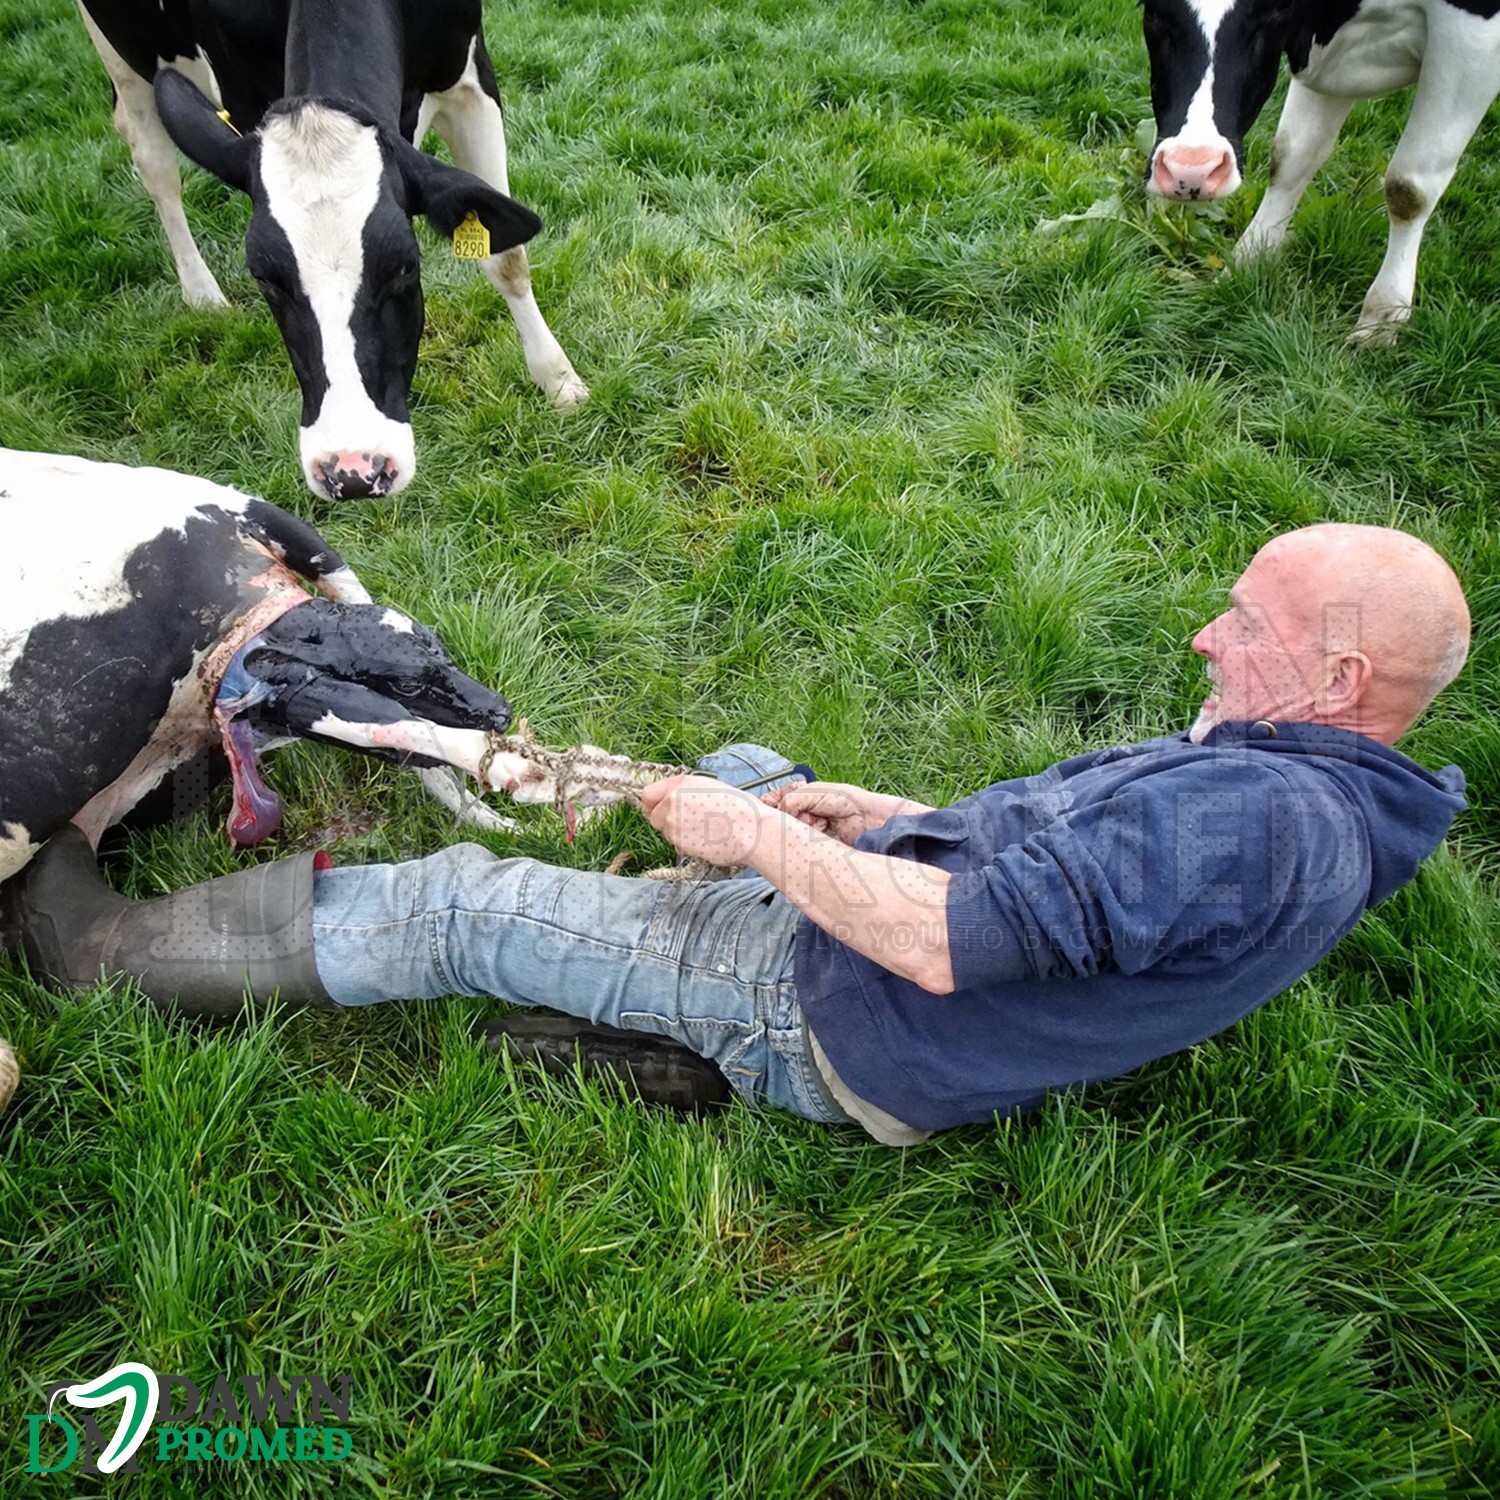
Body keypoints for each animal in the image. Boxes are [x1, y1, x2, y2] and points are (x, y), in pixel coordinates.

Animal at [77, 0, 588, 499]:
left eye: (406, 266)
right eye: (264, 277)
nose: (353, 470)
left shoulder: (468, 76)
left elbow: (507, 259)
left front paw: (558, 380)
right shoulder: (241, 92)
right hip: (120, 53)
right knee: (154, 163)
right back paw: (201, 292)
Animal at [1141, 1, 1500, 345]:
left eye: (1271, 13)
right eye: (1155, 13)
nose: (1191, 168)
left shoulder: (1474, 36)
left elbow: (1409, 188)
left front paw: (1381, 319)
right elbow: (1292, 156)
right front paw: (1247, 264)